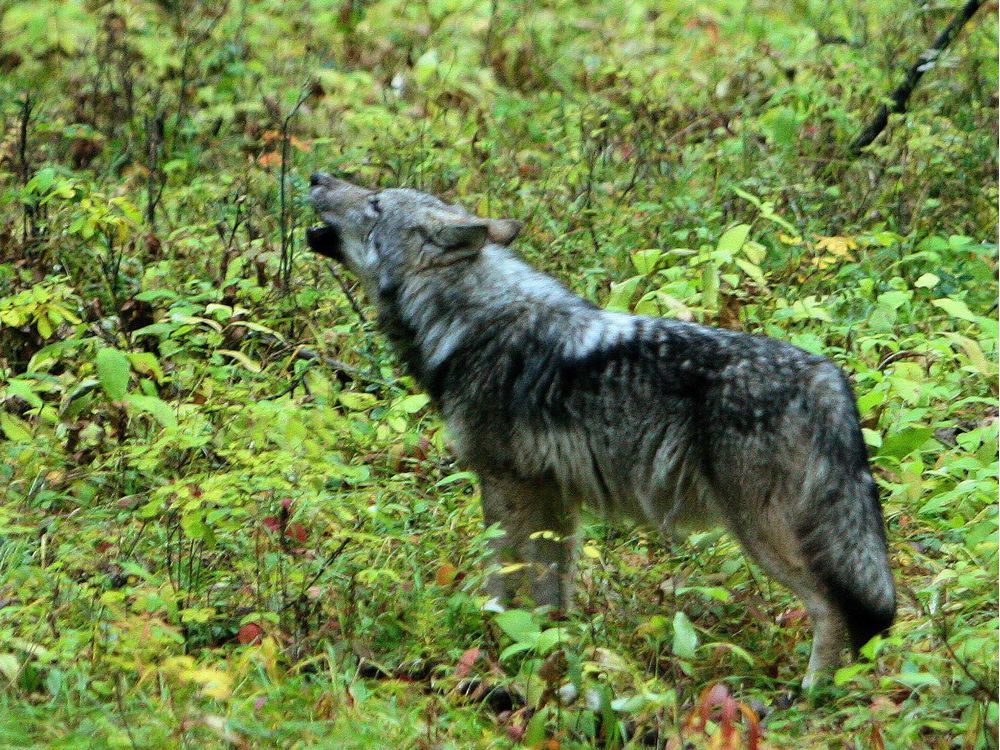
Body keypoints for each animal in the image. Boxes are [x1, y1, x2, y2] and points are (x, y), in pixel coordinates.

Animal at [305, 172, 895, 687]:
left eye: (375, 203)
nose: (314, 176)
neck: (467, 323)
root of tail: (828, 376)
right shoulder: (554, 499)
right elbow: (549, 593)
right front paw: (544, 654)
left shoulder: (505, 485)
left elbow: (499, 578)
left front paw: (489, 641)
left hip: (761, 535)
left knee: (833, 610)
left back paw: (812, 694)